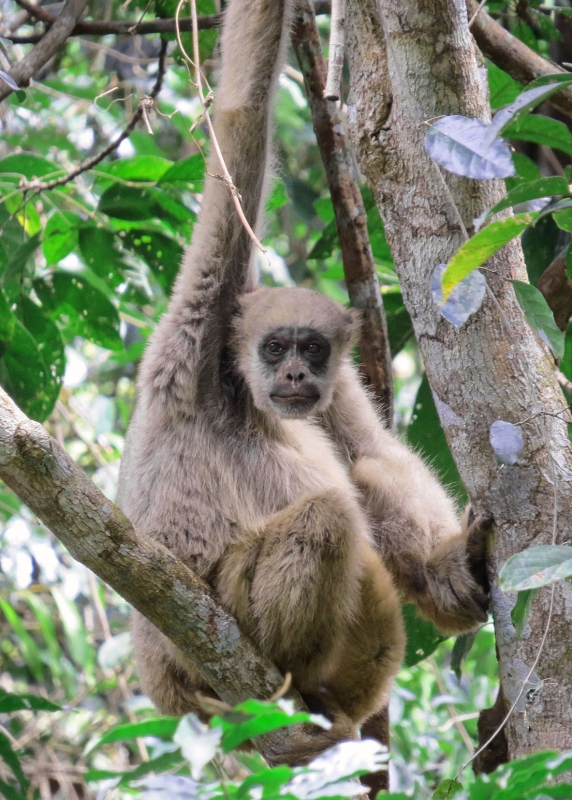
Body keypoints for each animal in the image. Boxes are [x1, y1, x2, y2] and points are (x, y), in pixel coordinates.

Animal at [117, 0, 489, 766]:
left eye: (311, 351)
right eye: (275, 347)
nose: (292, 372)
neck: (240, 402)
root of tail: (164, 681)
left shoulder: (331, 385)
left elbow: (369, 453)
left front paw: (447, 570)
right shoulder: (190, 344)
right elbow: (239, 118)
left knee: (361, 479)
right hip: (213, 628)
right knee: (327, 518)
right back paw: (293, 691)